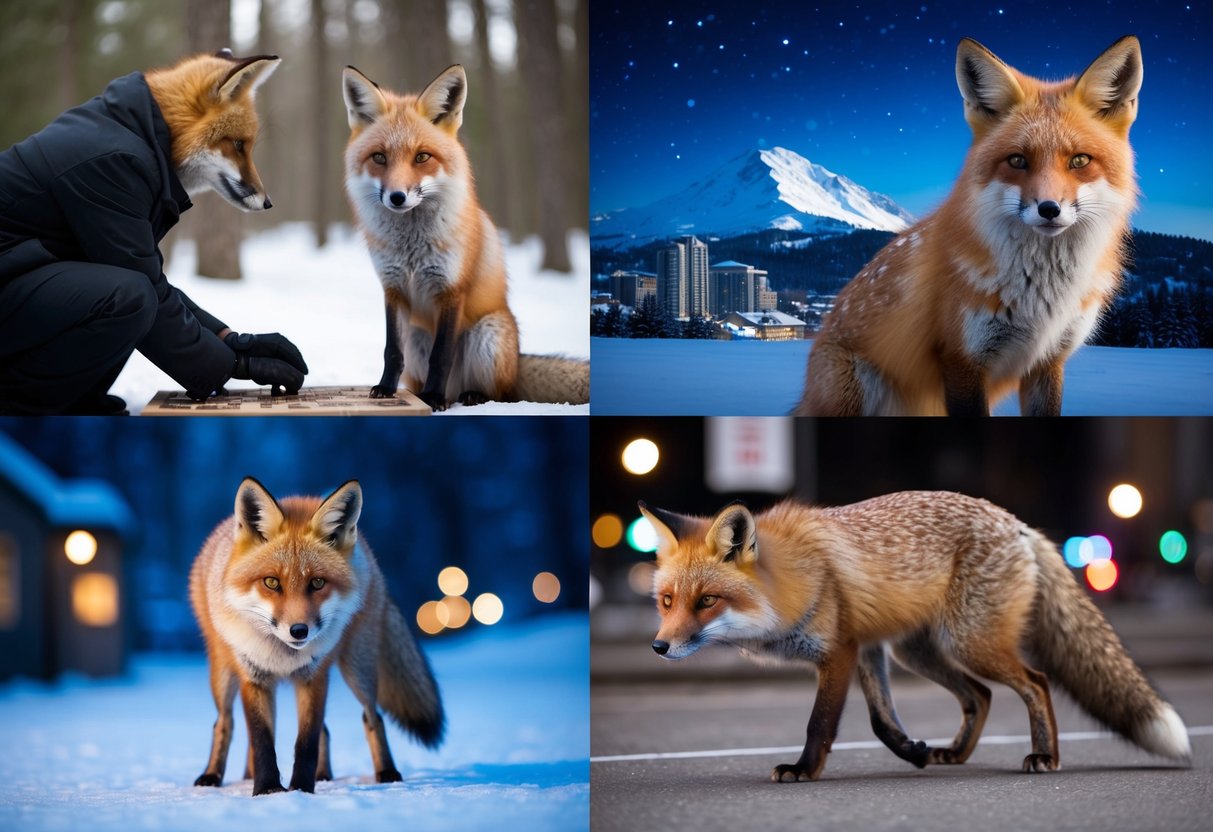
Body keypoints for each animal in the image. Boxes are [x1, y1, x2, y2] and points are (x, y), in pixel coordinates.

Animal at [190, 478, 444, 796]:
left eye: (318, 583)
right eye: (271, 582)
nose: (299, 630)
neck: (283, 655)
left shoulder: (314, 675)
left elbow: (307, 741)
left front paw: (300, 789)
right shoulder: (254, 675)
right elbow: (262, 739)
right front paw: (267, 789)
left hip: (358, 667)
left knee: (369, 717)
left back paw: (379, 773)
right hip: (223, 672)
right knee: (225, 722)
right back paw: (216, 775)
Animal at [342, 64, 589, 411]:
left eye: (422, 157)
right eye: (379, 157)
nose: (397, 197)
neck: (410, 248)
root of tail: (517, 363)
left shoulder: (451, 289)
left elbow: (441, 356)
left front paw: (432, 398)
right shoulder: (393, 288)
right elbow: (392, 351)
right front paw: (386, 390)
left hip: (486, 334)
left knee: (499, 394)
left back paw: (466, 396)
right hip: (418, 335)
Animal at [640, 492, 1191, 783]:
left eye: (706, 601)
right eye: (667, 601)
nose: (659, 647)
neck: (797, 577)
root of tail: (1015, 522)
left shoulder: (838, 651)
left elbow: (820, 724)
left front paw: (803, 769)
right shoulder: (867, 646)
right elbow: (883, 723)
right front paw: (915, 751)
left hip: (971, 643)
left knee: (1035, 682)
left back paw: (1046, 757)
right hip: (920, 651)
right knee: (981, 695)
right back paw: (955, 755)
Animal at [796, 36, 1143, 416]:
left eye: (1079, 160)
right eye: (1017, 160)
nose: (1049, 209)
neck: (1041, 297)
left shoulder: (1048, 360)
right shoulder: (962, 359)